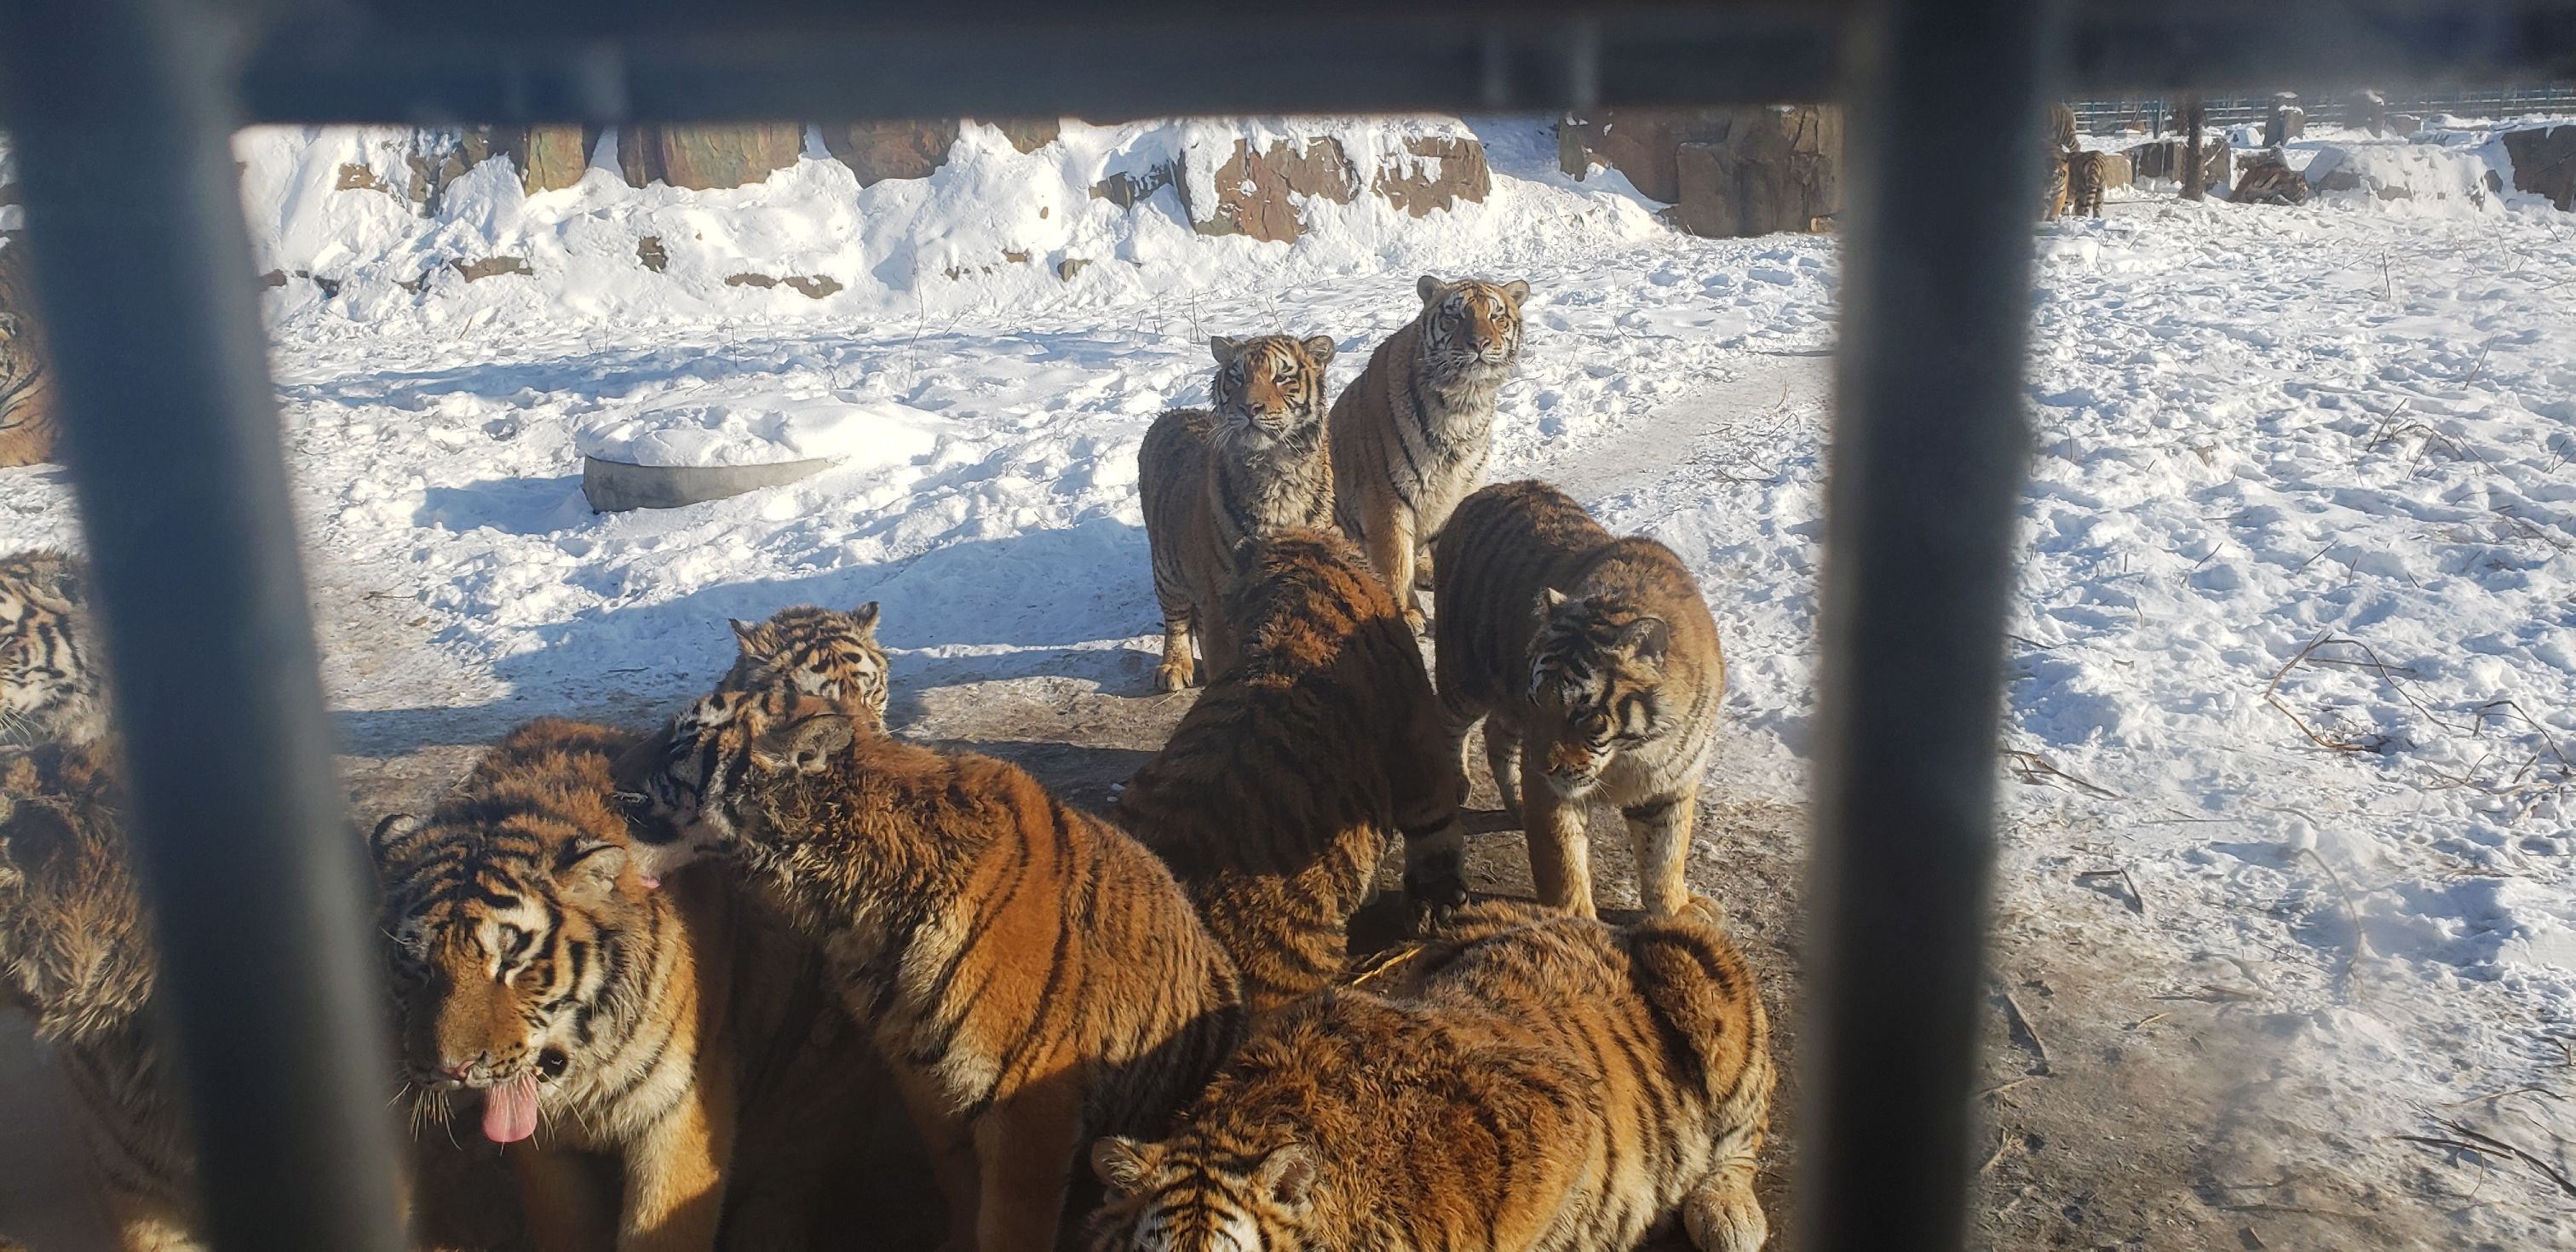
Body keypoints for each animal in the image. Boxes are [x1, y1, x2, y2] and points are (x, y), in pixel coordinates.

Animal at [370, 717, 882, 1252]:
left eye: (511, 961)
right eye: (415, 964)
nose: (453, 1069)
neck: (583, 1067)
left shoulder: (678, 1114)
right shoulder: (539, 1147)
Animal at [617, 685, 1245, 1252]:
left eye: (682, 742)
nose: (609, 774)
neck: (844, 902)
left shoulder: (1031, 1104)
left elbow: (1011, 1227)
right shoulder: (926, 1081)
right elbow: (962, 1190)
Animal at [1138, 333, 1338, 692]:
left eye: (1282, 376)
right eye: (1237, 377)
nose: (1249, 408)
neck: (1277, 470)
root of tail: (1169, 413)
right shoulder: (1218, 597)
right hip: (1168, 571)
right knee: (1176, 619)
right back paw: (1174, 667)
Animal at [1327, 275, 1528, 629]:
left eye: (1496, 317)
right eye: (1456, 316)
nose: (1480, 344)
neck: (1463, 404)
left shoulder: (1460, 491)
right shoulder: (1386, 499)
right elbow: (1395, 561)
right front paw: (1407, 613)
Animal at [1431, 481, 1725, 920]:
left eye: (1582, 713)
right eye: (1539, 702)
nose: (1542, 766)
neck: (1635, 750)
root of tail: (1485, 490)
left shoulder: (1668, 786)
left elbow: (1666, 856)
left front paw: (1675, 911)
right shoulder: (1553, 790)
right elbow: (1562, 861)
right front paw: (1575, 919)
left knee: (1496, 734)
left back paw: (1516, 805)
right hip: (1462, 678)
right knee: (1448, 725)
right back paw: (1459, 785)